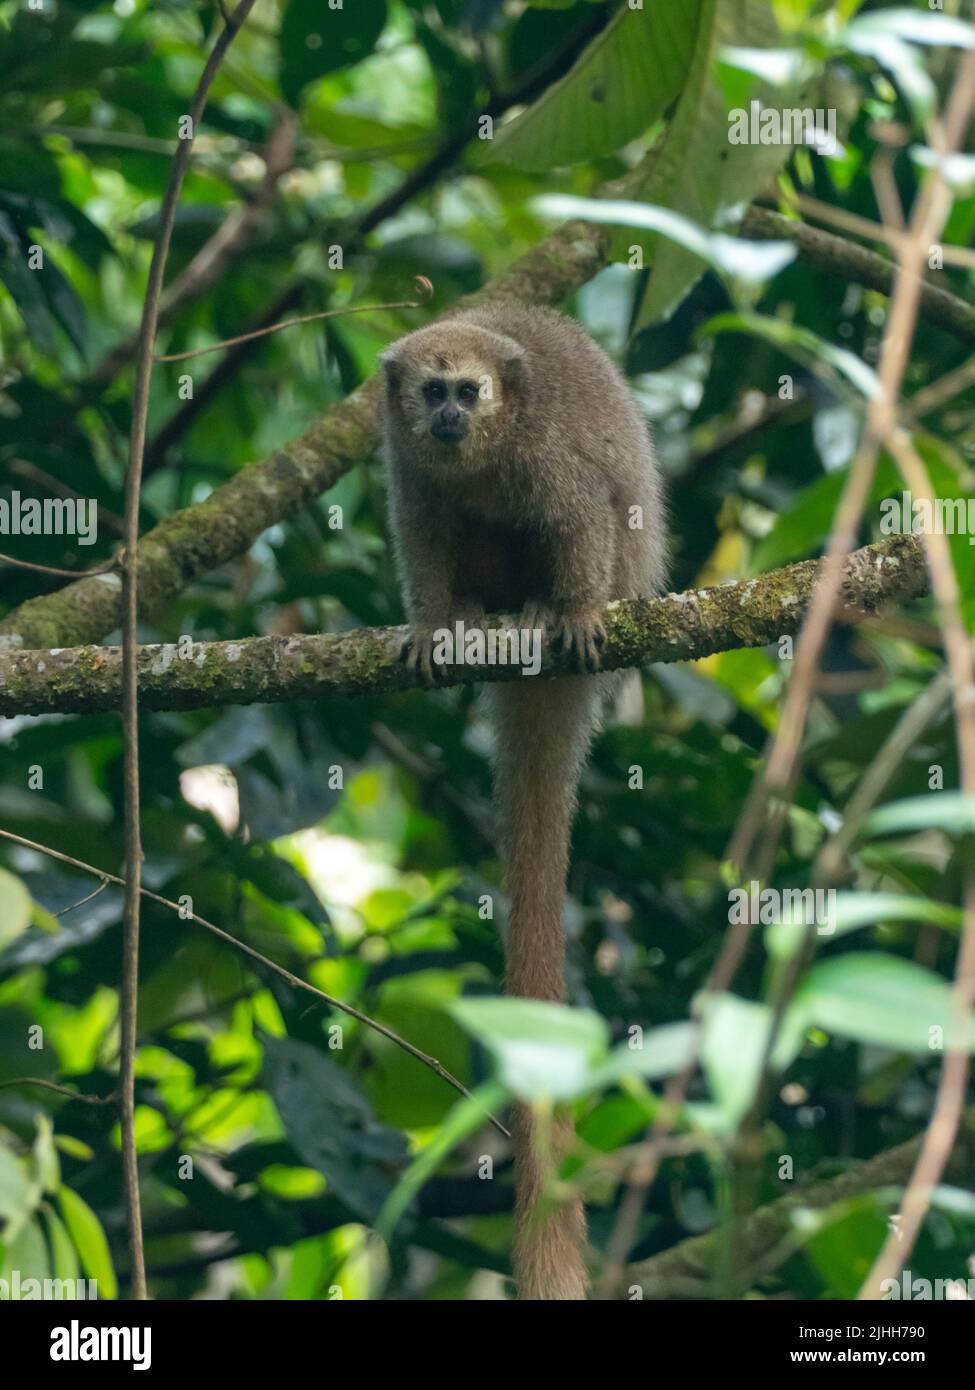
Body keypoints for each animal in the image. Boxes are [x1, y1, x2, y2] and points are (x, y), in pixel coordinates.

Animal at [380, 303, 667, 1300]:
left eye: (469, 393)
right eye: (431, 391)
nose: (446, 418)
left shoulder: (547, 459)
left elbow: (582, 509)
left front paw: (572, 611)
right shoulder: (404, 468)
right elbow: (423, 540)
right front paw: (434, 623)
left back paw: (545, 615)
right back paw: (482, 615)